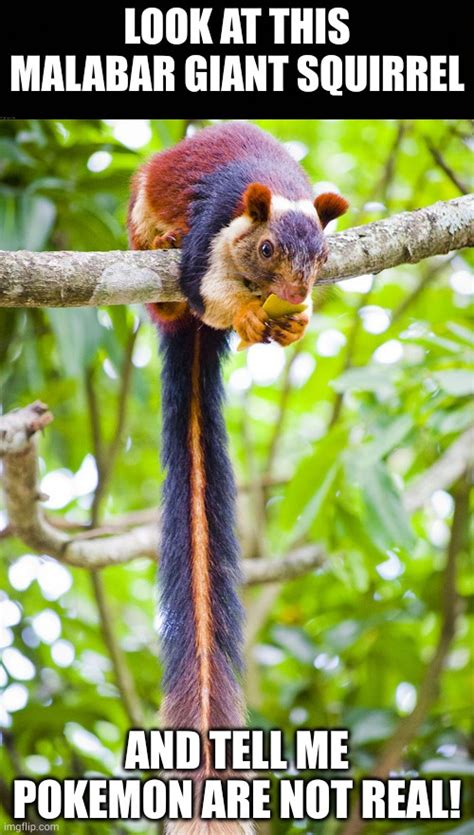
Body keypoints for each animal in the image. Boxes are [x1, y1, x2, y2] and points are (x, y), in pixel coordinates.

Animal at [128, 121, 348, 834]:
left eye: (324, 258)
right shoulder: (210, 237)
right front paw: (250, 317)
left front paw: (296, 323)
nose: (298, 294)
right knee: (175, 295)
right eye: (268, 247)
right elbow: (209, 291)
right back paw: (158, 250)